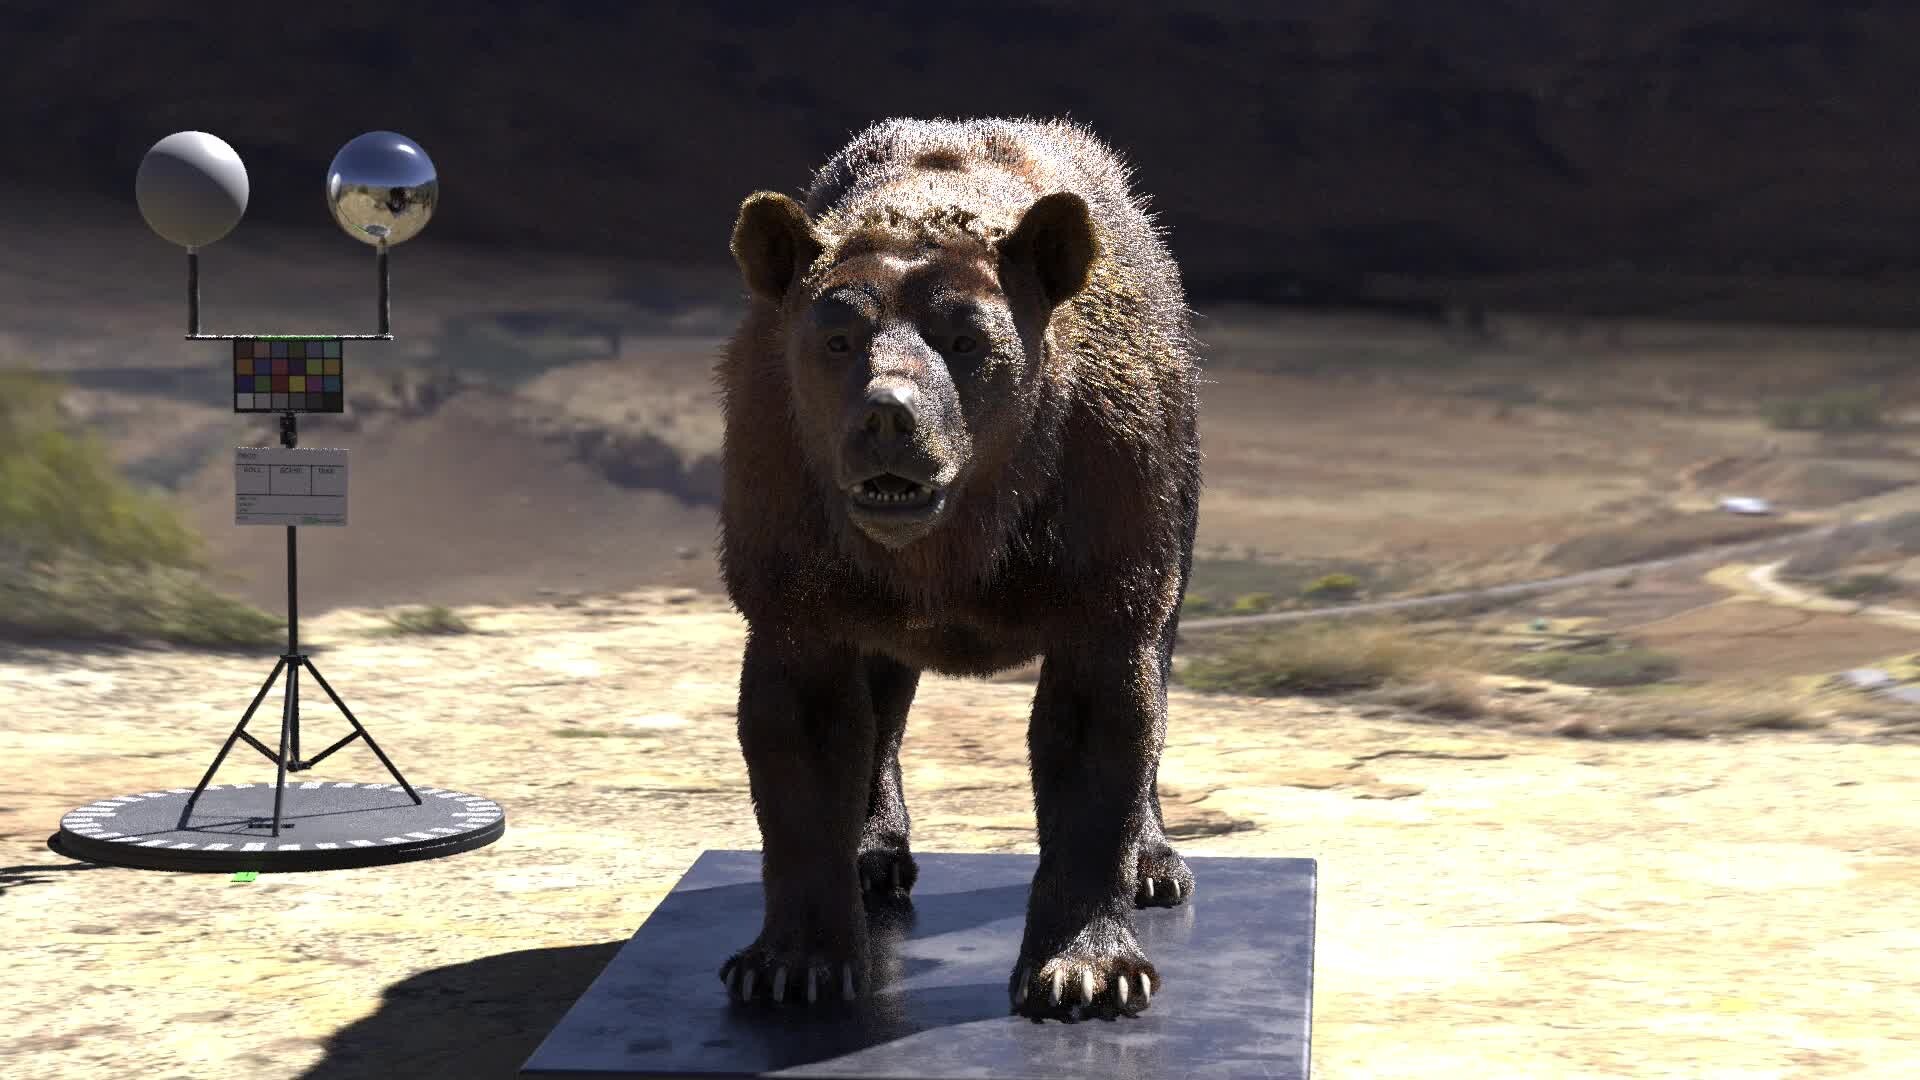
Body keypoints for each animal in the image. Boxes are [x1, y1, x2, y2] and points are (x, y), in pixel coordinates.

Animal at [714, 116, 1202, 1022]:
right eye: (838, 339)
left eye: (967, 339)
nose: (888, 416)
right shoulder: (791, 526)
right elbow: (802, 734)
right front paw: (792, 963)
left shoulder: (1099, 512)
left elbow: (1100, 728)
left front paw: (1086, 970)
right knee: (879, 688)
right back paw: (873, 855)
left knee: (1160, 651)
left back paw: (1153, 862)